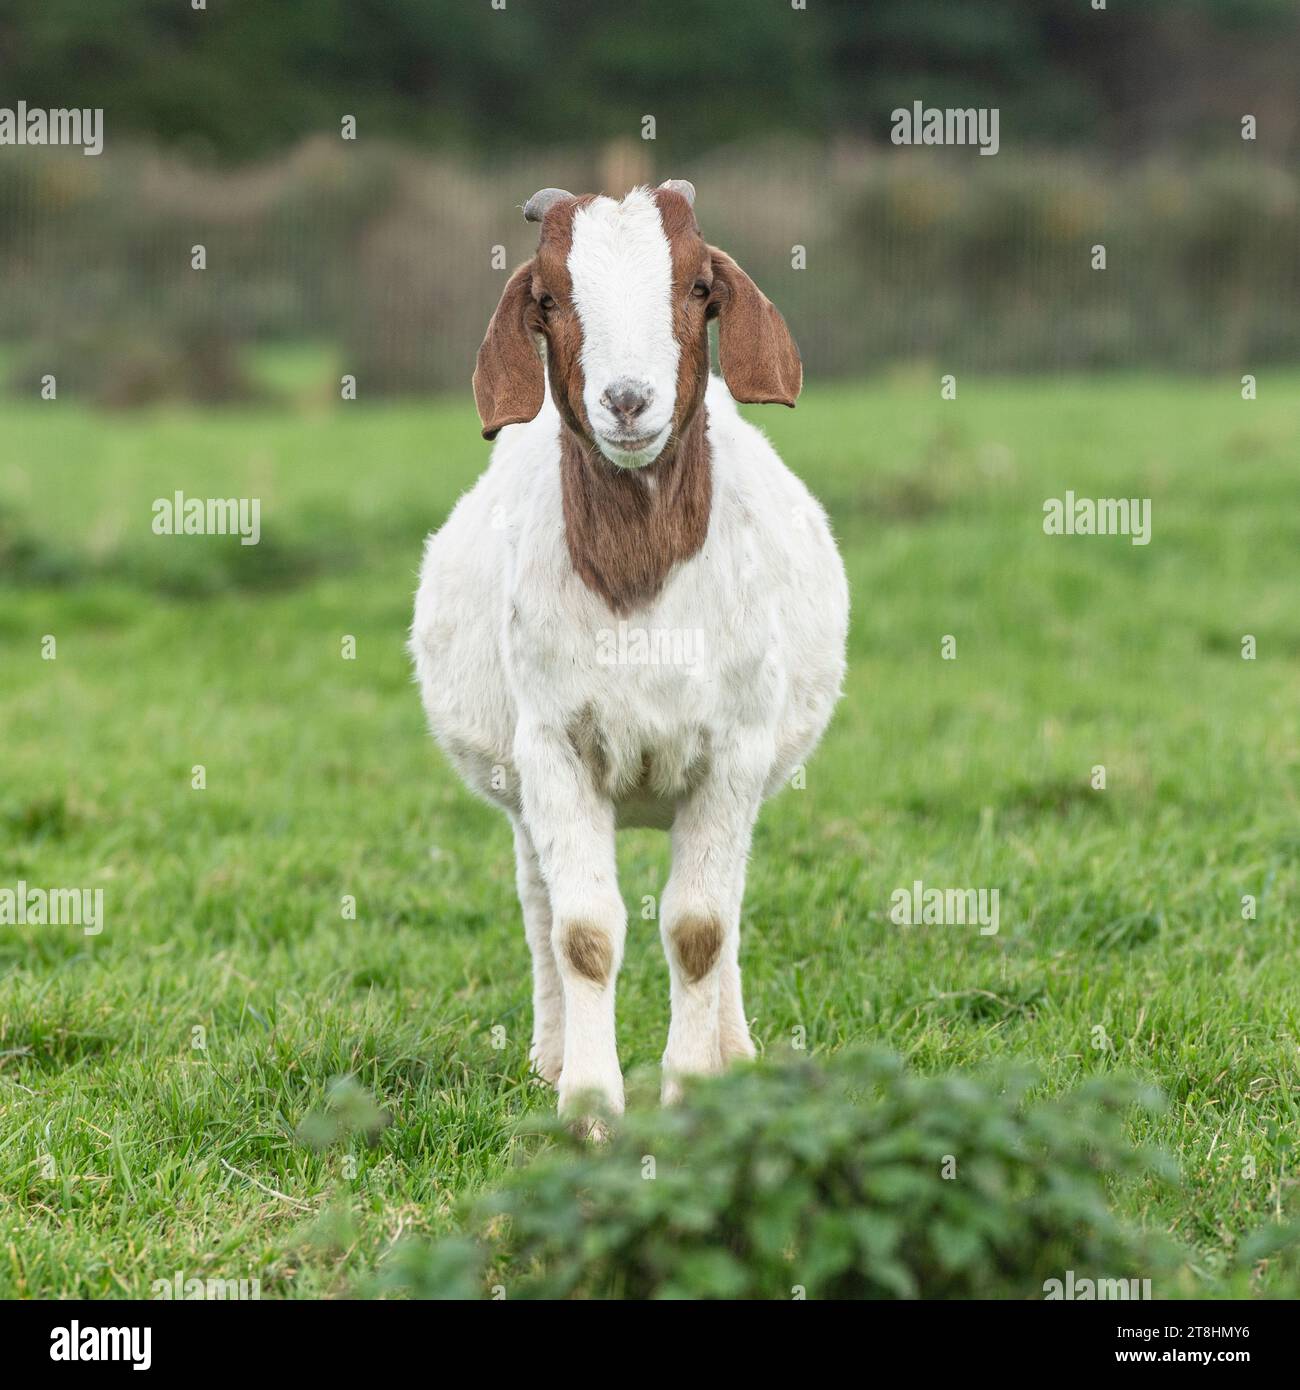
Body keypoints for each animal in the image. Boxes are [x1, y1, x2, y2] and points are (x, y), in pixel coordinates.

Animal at [410, 181, 848, 1127]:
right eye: (546, 297)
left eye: (698, 286)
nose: (627, 400)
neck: (640, 569)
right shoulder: (555, 747)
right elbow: (581, 932)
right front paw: (585, 1101)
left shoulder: (734, 750)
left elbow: (700, 929)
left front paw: (694, 1086)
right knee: (537, 899)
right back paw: (548, 1052)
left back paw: (735, 1047)